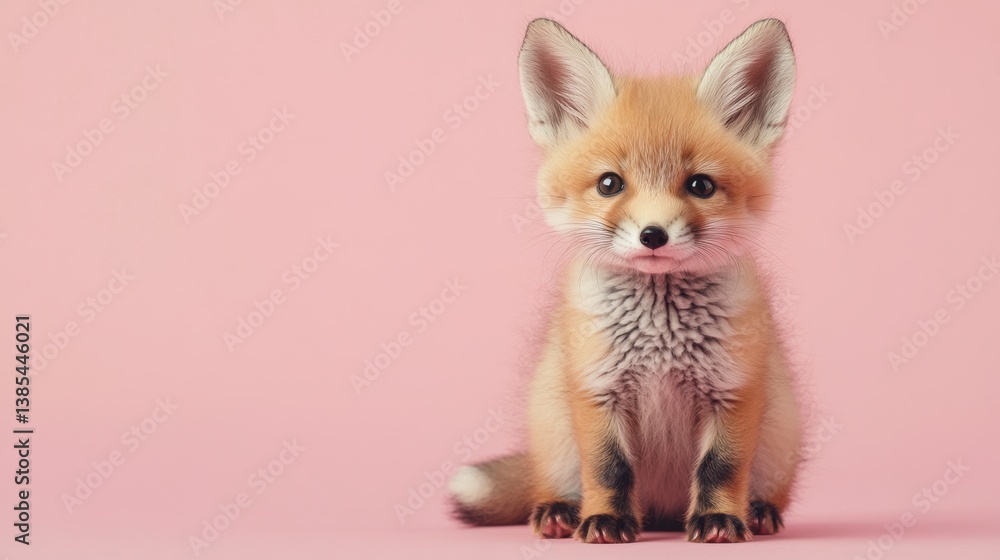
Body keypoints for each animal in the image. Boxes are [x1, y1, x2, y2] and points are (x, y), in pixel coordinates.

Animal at [448, 17, 802, 544]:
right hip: (553, 424)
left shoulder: (734, 388)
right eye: (609, 184)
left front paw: (720, 520)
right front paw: (605, 521)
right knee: (553, 484)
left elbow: (720, 467)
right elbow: (608, 468)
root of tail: (661, 513)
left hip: (779, 431)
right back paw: (560, 511)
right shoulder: (596, 388)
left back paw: (757, 511)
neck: (660, 337)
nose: (652, 235)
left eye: (700, 185)